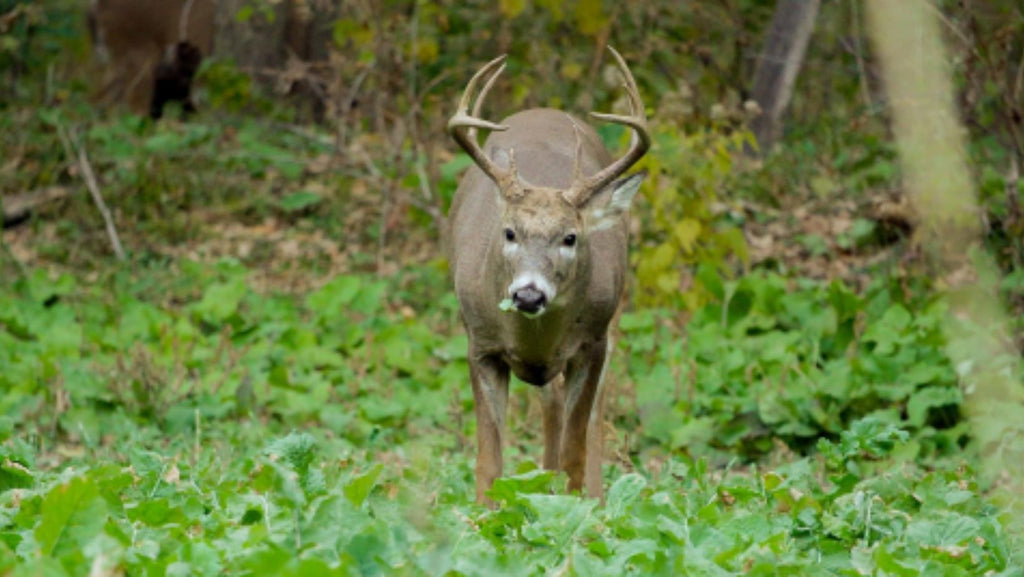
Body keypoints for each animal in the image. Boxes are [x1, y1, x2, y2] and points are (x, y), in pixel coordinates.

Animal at [446, 47, 650, 503]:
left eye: (570, 237)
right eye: (509, 232)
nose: (527, 296)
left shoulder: (592, 342)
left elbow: (577, 450)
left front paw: (578, 508)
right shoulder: (480, 344)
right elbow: (489, 461)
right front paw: (483, 514)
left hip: (610, 326)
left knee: (591, 421)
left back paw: (592, 496)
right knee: (551, 404)